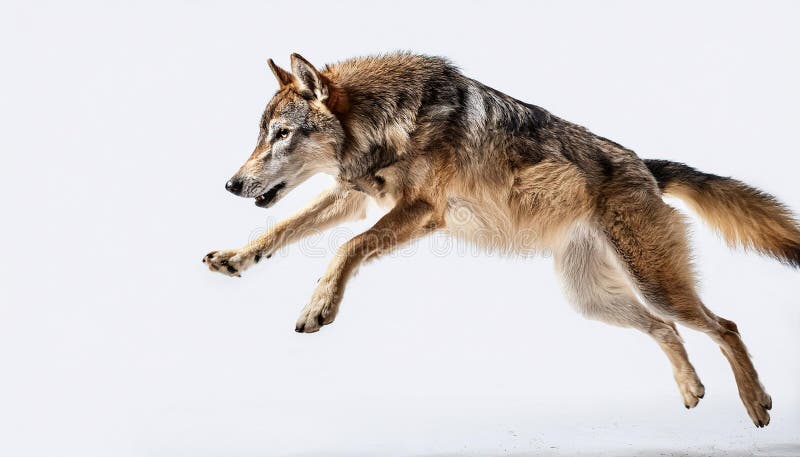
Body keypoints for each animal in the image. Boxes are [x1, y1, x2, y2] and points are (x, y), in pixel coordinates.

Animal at [203, 52, 800, 427]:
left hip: (651, 284)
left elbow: (345, 249)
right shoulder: (356, 197)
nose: (230, 184)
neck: (390, 121)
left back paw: (757, 404)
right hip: (592, 300)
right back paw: (691, 389)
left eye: (281, 134)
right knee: (667, 328)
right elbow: (281, 228)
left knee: (725, 325)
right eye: (261, 136)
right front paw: (235, 258)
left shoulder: (419, 212)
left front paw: (319, 307)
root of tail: (646, 167)